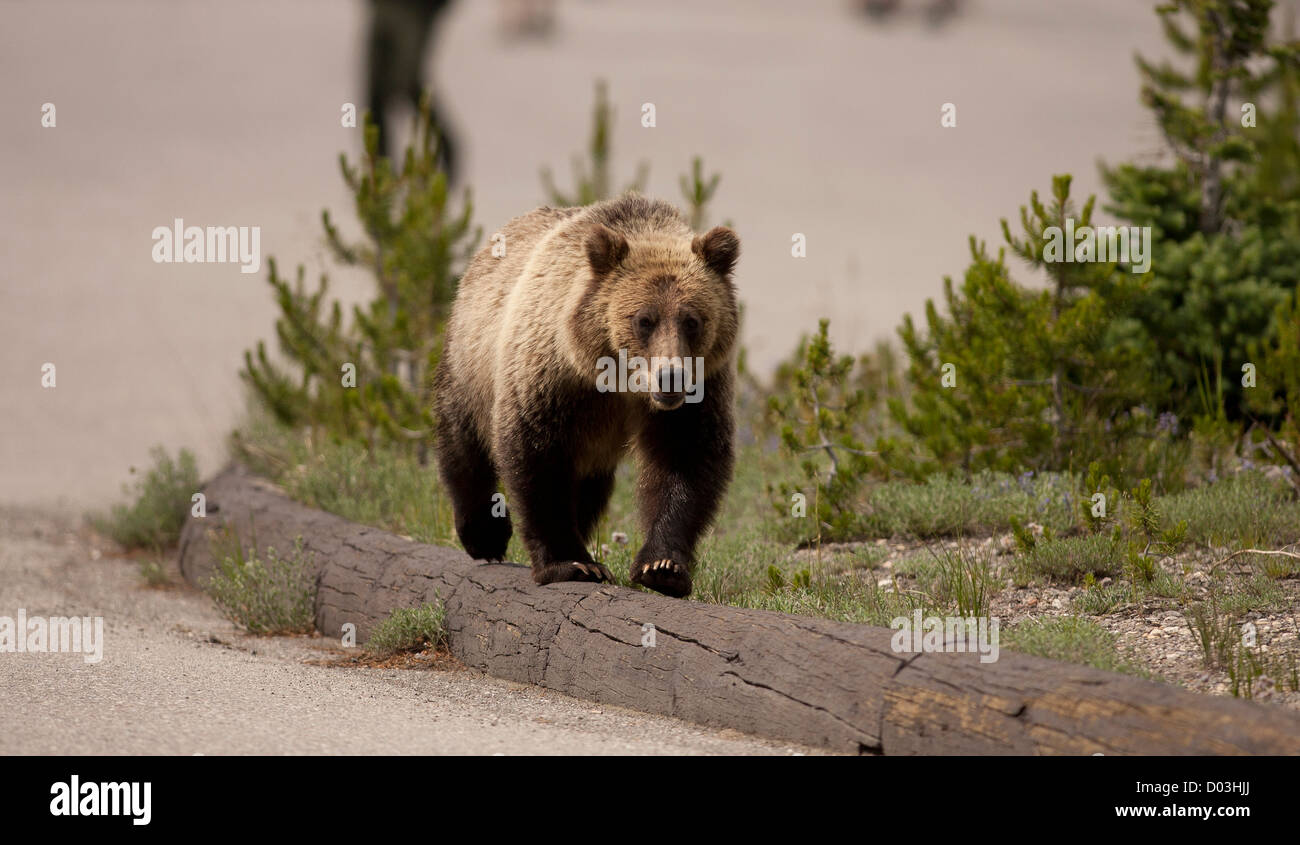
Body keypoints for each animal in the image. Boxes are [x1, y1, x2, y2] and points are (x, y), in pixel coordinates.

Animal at [433, 194, 740, 598]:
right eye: (644, 320)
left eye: (692, 320)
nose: (671, 377)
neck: (622, 384)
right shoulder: (555, 377)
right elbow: (537, 455)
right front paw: (573, 563)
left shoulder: (698, 393)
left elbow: (685, 458)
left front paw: (662, 566)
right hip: (471, 359)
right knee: (462, 439)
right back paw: (484, 534)